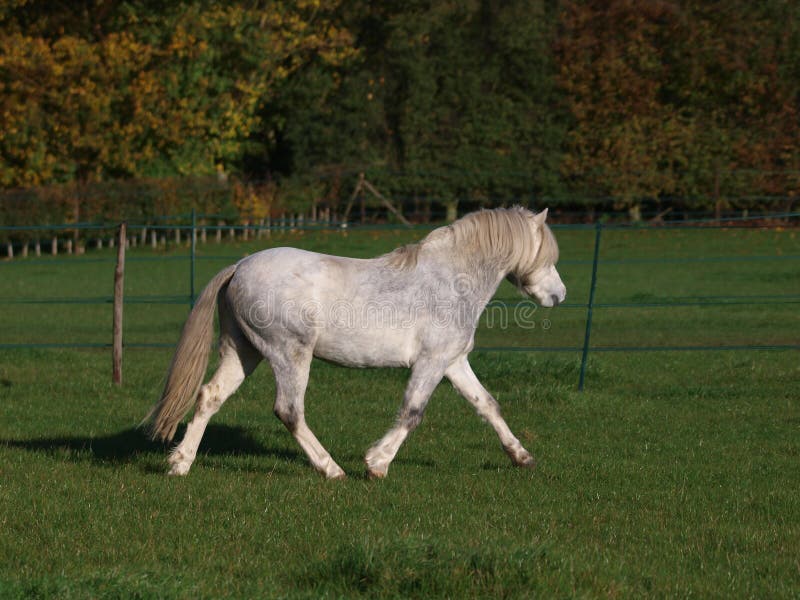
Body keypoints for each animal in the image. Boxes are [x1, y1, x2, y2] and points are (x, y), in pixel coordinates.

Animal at [144, 206, 566, 479]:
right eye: (546, 255)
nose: (559, 295)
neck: (450, 280)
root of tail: (239, 267)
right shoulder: (430, 362)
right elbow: (412, 413)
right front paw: (377, 463)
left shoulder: (452, 361)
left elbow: (488, 405)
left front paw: (522, 457)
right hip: (289, 354)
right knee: (289, 411)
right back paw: (332, 469)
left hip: (243, 351)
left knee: (209, 396)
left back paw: (180, 464)